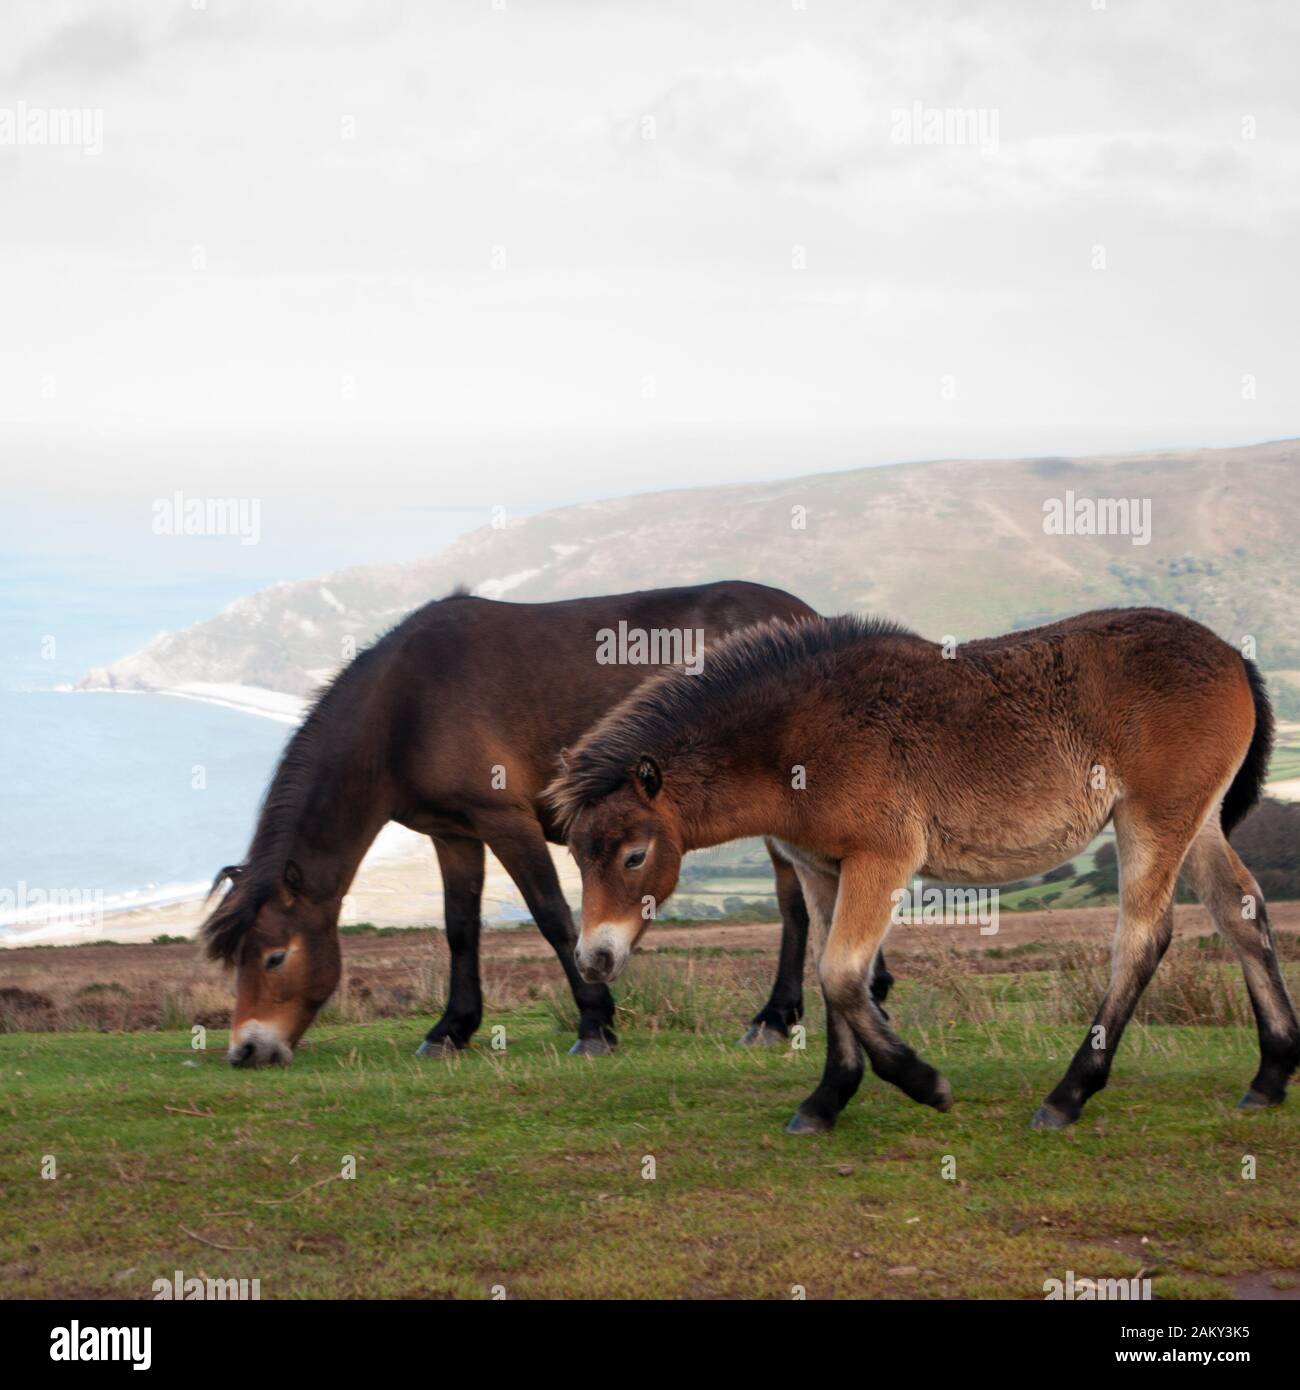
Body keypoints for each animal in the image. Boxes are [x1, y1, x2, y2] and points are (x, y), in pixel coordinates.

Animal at [201, 581, 894, 1066]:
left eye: (274, 957)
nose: (246, 1051)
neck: (404, 705)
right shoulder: (454, 833)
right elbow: (460, 929)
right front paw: (452, 1029)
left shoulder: (506, 822)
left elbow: (553, 917)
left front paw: (595, 1024)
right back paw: (872, 987)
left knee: (795, 903)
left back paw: (776, 1016)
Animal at [546, 607, 1300, 1134]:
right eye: (576, 854)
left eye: (634, 855)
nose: (595, 958)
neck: (799, 736)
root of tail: (1233, 656)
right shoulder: (823, 870)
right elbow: (831, 976)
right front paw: (825, 1101)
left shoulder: (883, 859)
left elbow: (843, 975)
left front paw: (923, 1083)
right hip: (1196, 823)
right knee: (1242, 913)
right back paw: (1270, 1075)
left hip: (1152, 820)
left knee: (1142, 939)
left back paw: (1067, 1097)